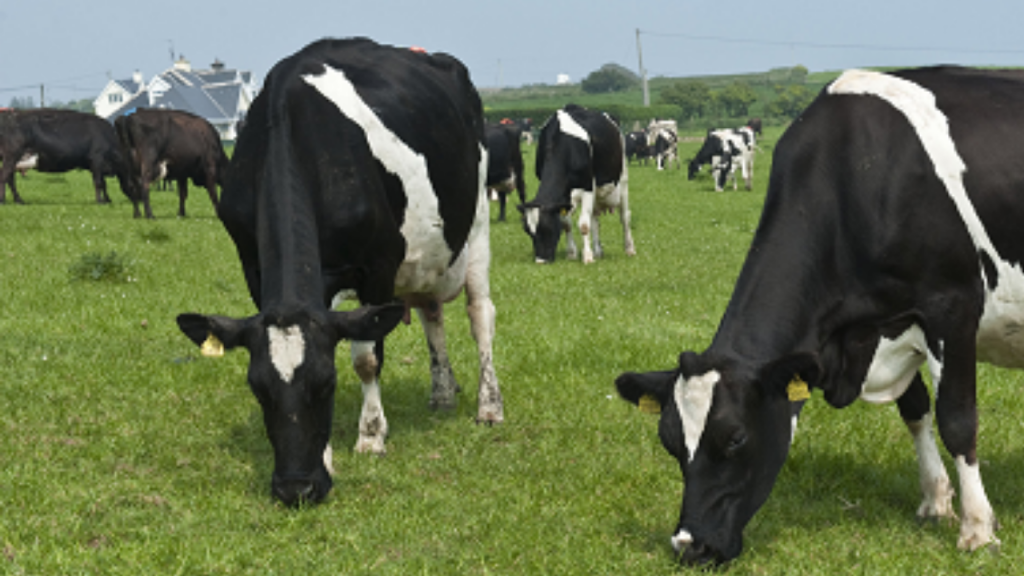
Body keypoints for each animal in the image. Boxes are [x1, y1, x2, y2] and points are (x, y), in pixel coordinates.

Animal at [0, 108, 134, 205]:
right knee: (4, 177)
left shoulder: (97, 165)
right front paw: (100, 201)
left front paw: (107, 200)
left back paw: (19, 200)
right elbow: (99, 182)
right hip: (11, 156)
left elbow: (103, 183)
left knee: (10, 179)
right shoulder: (97, 158)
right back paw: (3, 201)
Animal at [175, 37, 504, 507]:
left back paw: (489, 406)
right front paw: (328, 457)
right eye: (258, 389)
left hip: (475, 228)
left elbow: (367, 358)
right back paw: (442, 393)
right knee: (432, 315)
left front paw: (370, 436)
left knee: (480, 316)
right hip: (426, 259)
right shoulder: (254, 269)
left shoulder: (378, 266)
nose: (296, 488)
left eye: (327, 384)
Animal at [518, 104, 635, 264]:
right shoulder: (564, 197)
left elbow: (584, 225)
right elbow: (567, 224)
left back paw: (629, 249)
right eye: (528, 231)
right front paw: (572, 253)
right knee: (595, 218)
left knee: (625, 217)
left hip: (622, 180)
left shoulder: (587, 187)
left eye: (547, 228)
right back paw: (598, 251)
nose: (541, 260)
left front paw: (587, 257)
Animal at [616, 66, 1024, 565]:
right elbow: (915, 410)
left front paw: (978, 527)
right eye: (669, 441)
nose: (690, 545)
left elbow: (957, 419)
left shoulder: (952, 308)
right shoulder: (894, 326)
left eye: (735, 438)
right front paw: (935, 500)